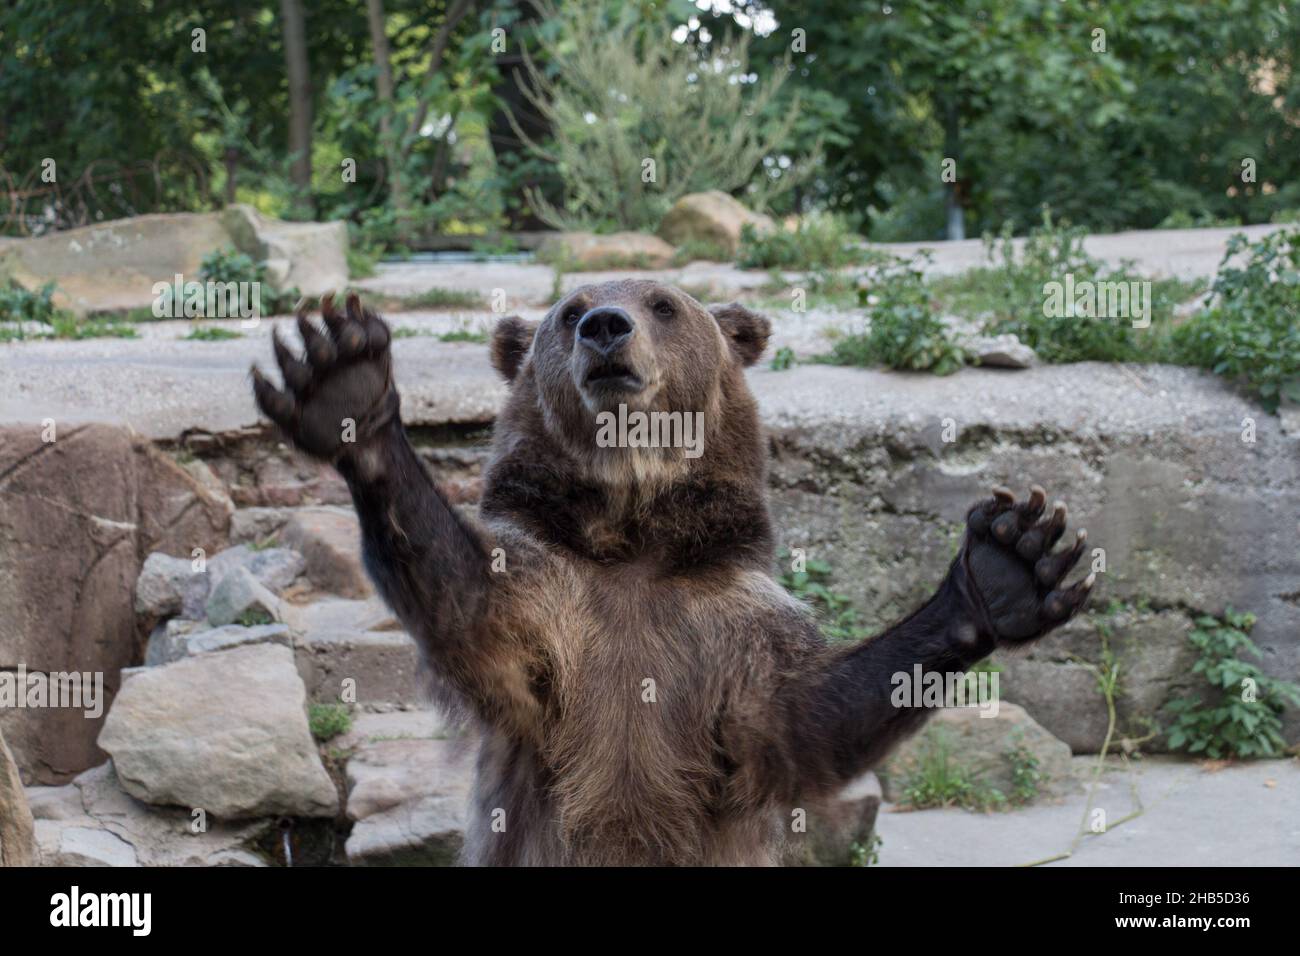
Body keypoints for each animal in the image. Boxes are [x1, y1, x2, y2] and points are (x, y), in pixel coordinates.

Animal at [252, 284, 1094, 866]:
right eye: (569, 311)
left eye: (662, 304)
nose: (605, 325)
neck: (634, 542)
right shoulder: (549, 599)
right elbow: (468, 607)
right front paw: (345, 383)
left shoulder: (732, 623)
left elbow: (804, 717)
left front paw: (1008, 563)